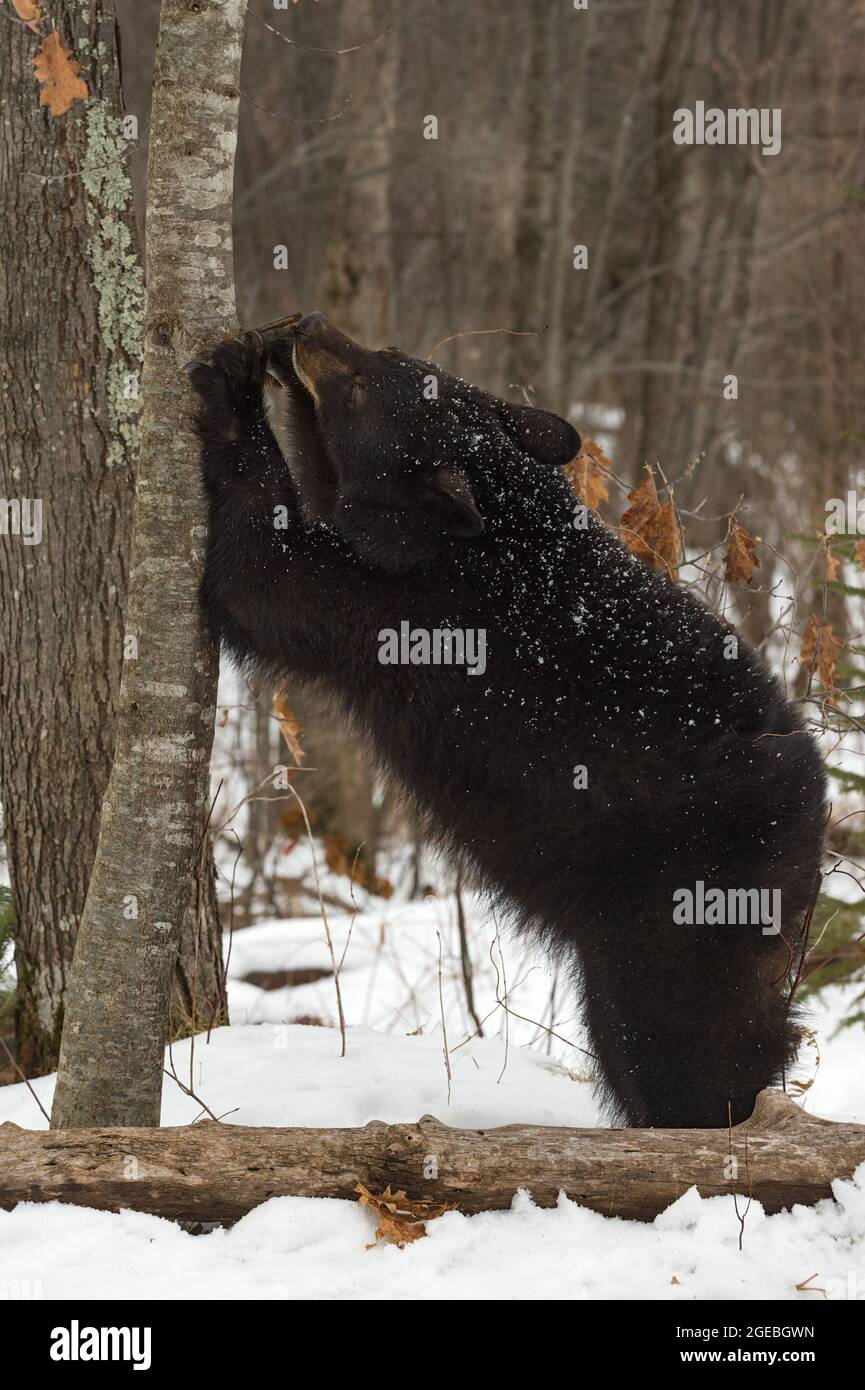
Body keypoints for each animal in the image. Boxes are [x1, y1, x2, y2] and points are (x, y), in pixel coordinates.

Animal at [190, 312, 826, 1128]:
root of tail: (810, 827)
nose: (308, 328)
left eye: (359, 387)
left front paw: (230, 385)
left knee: (682, 1043)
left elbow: (265, 578)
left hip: (678, 911)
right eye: (387, 353)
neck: (499, 526)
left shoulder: (400, 604)